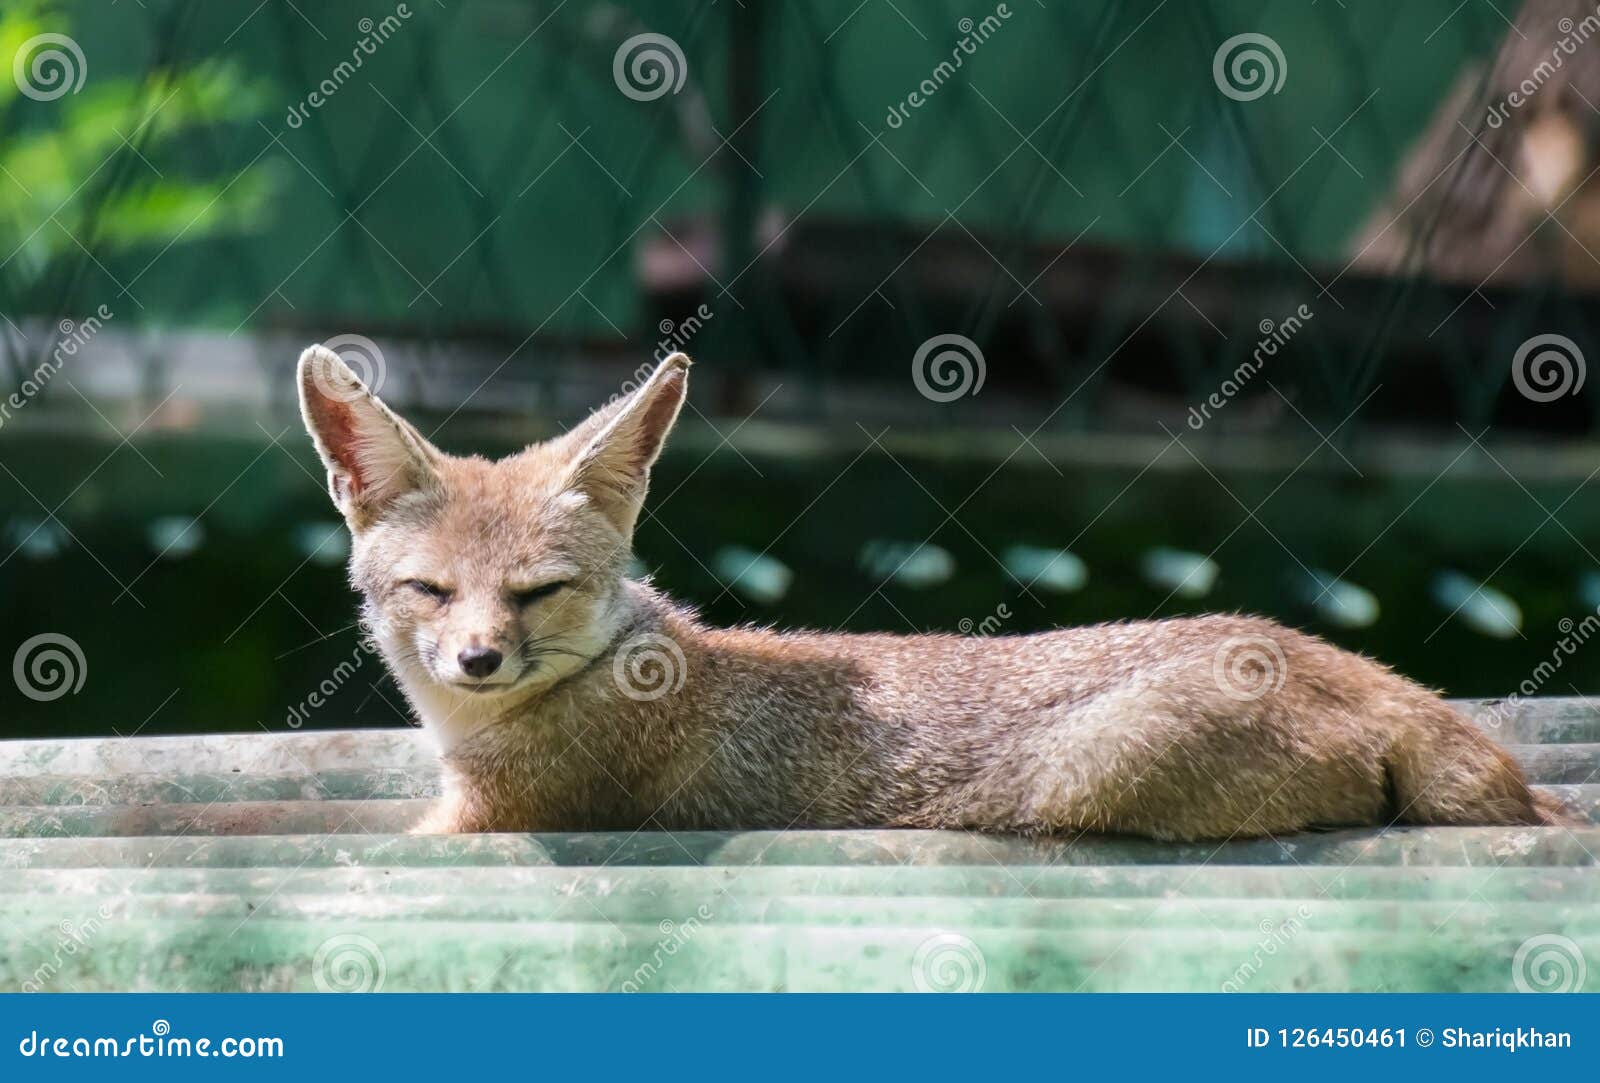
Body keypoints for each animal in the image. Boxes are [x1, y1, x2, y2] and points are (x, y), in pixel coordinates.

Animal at [297, 344, 1570, 841]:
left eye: (538, 594)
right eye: (430, 591)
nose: (478, 660)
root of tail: (1327, 655)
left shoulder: (480, 824)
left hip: (1081, 777)